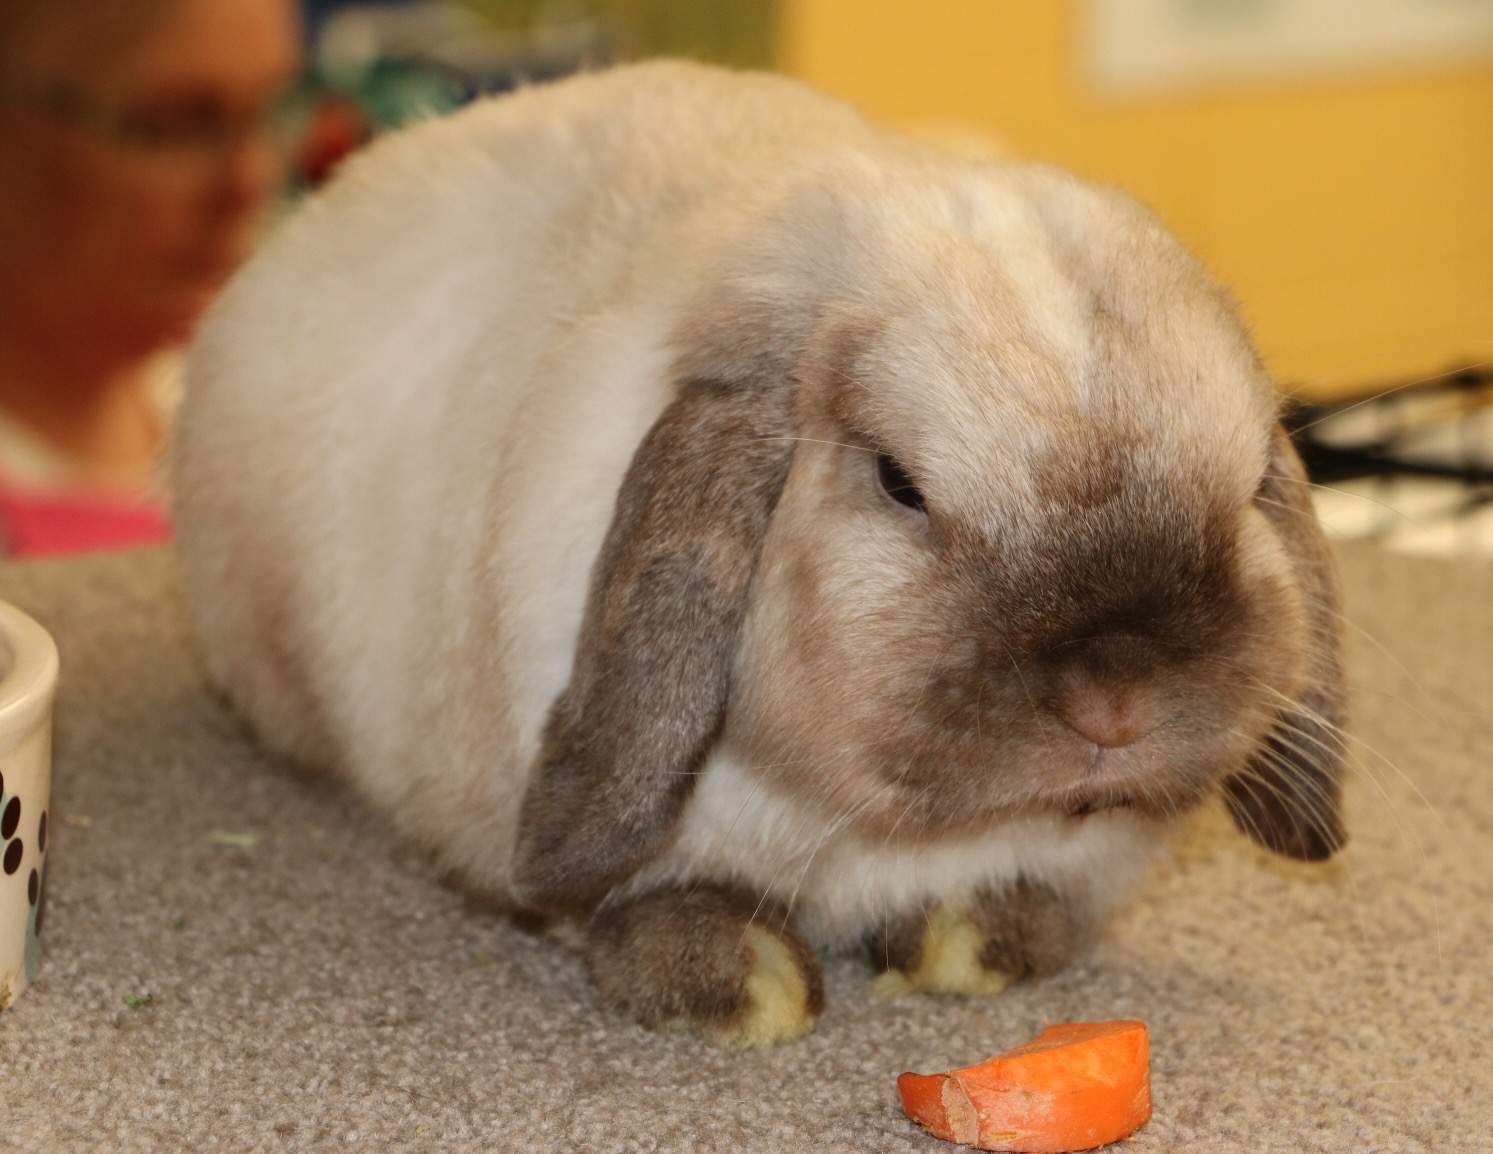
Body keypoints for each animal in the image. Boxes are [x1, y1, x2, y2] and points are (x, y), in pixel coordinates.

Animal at [171, 59, 1346, 1047]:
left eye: (1249, 487)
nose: (1116, 702)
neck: (864, 828)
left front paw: (968, 945)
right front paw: (745, 988)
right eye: (898, 481)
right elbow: (639, 908)